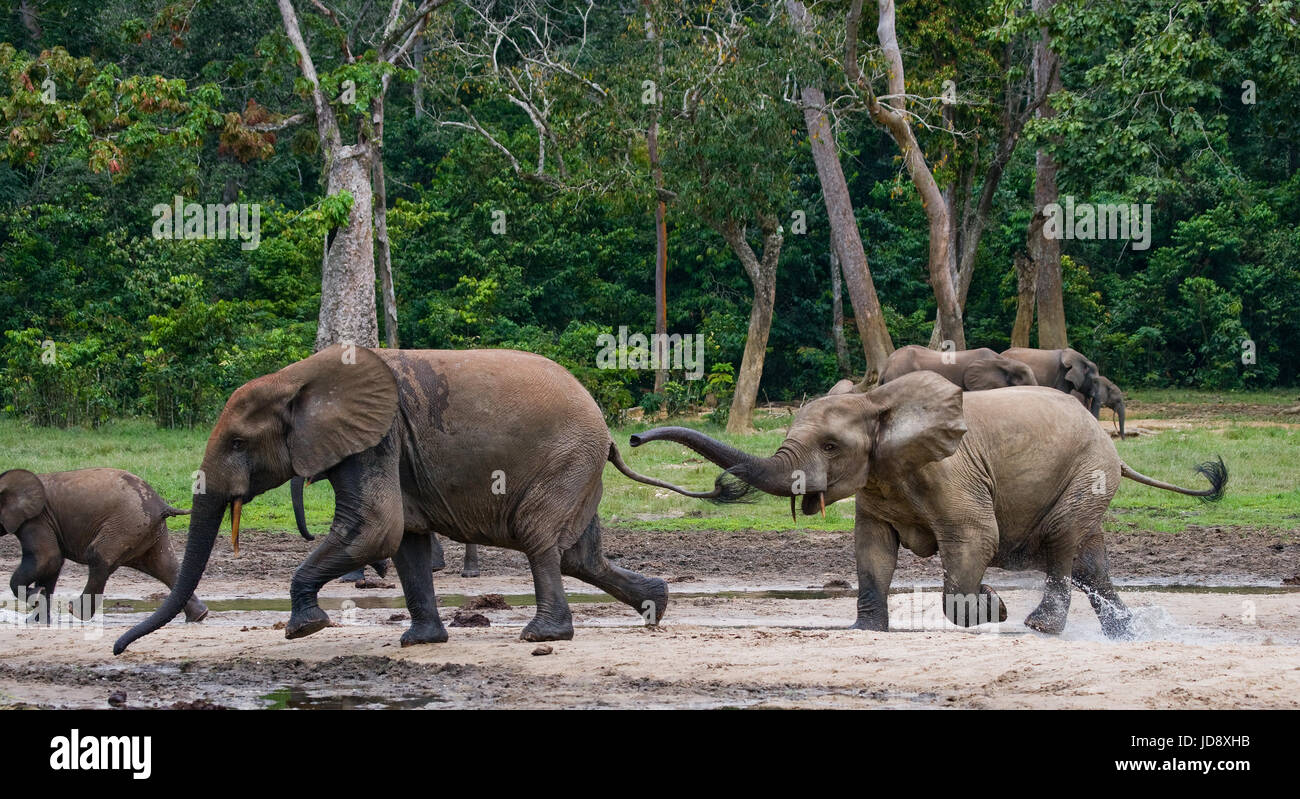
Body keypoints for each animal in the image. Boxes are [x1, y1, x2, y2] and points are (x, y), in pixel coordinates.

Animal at [0, 468, 209, 624]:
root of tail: (161, 504)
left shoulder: (36, 519)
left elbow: (48, 558)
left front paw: (36, 597)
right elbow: (52, 566)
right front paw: (36, 620)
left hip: (126, 524)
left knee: (97, 556)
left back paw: (75, 611)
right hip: (146, 528)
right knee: (165, 566)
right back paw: (199, 616)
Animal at [629, 372, 1227, 637]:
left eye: (831, 446)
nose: (633, 439)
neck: (879, 403)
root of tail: (1114, 449)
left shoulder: (952, 472)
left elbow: (973, 541)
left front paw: (990, 612)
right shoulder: (876, 488)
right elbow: (872, 553)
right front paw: (867, 633)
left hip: (1088, 470)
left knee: (1063, 545)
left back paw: (1040, 627)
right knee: (1089, 560)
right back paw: (1127, 634)